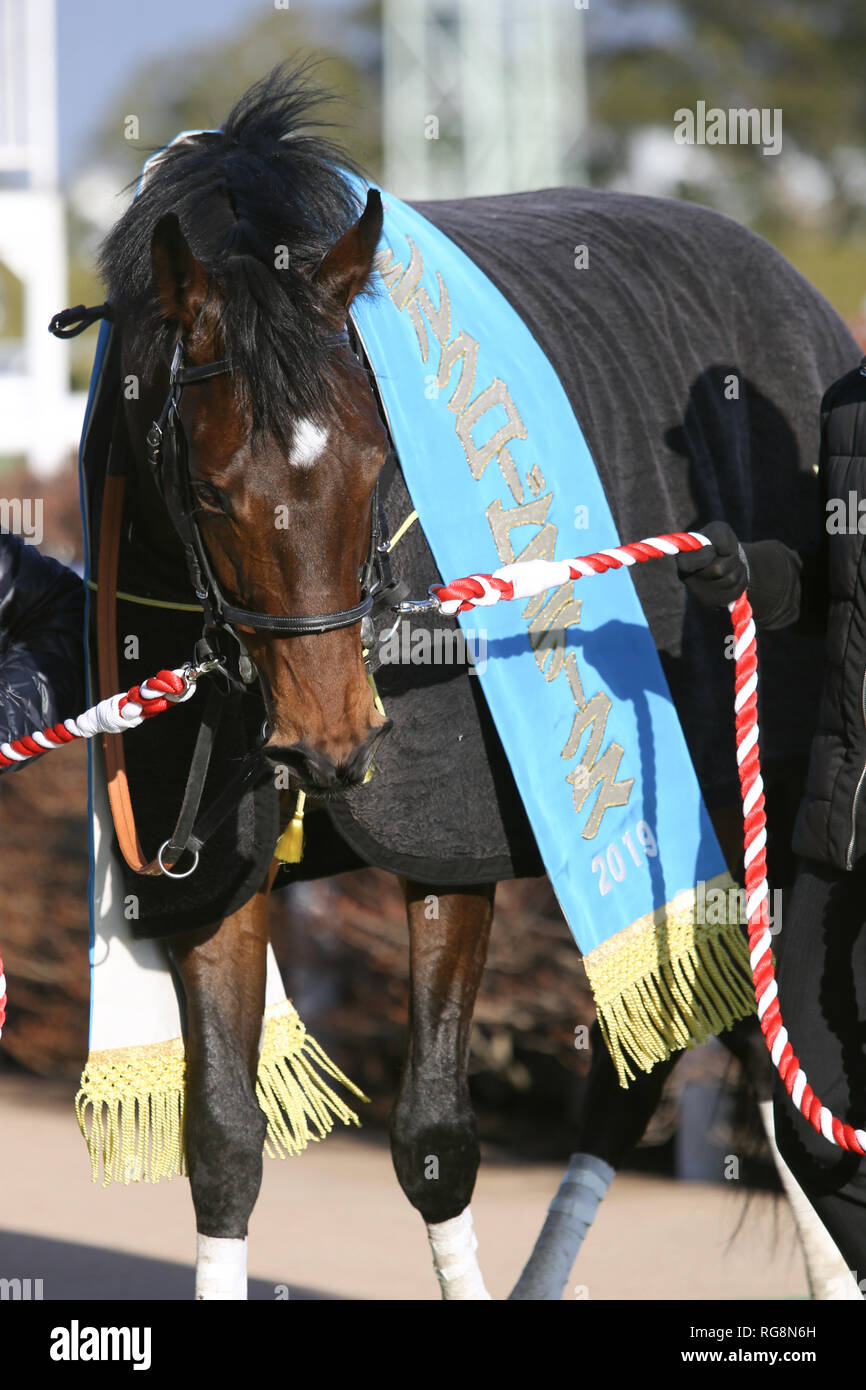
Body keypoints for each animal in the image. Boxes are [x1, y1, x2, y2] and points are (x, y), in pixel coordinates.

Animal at [84, 64, 860, 1299]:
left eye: (375, 460)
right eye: (205, 489)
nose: (333, 742)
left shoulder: (450, 844)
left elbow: (437, 1142)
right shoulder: (209, 858)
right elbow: (223, 1143)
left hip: (764, 802)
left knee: (784, 1070)